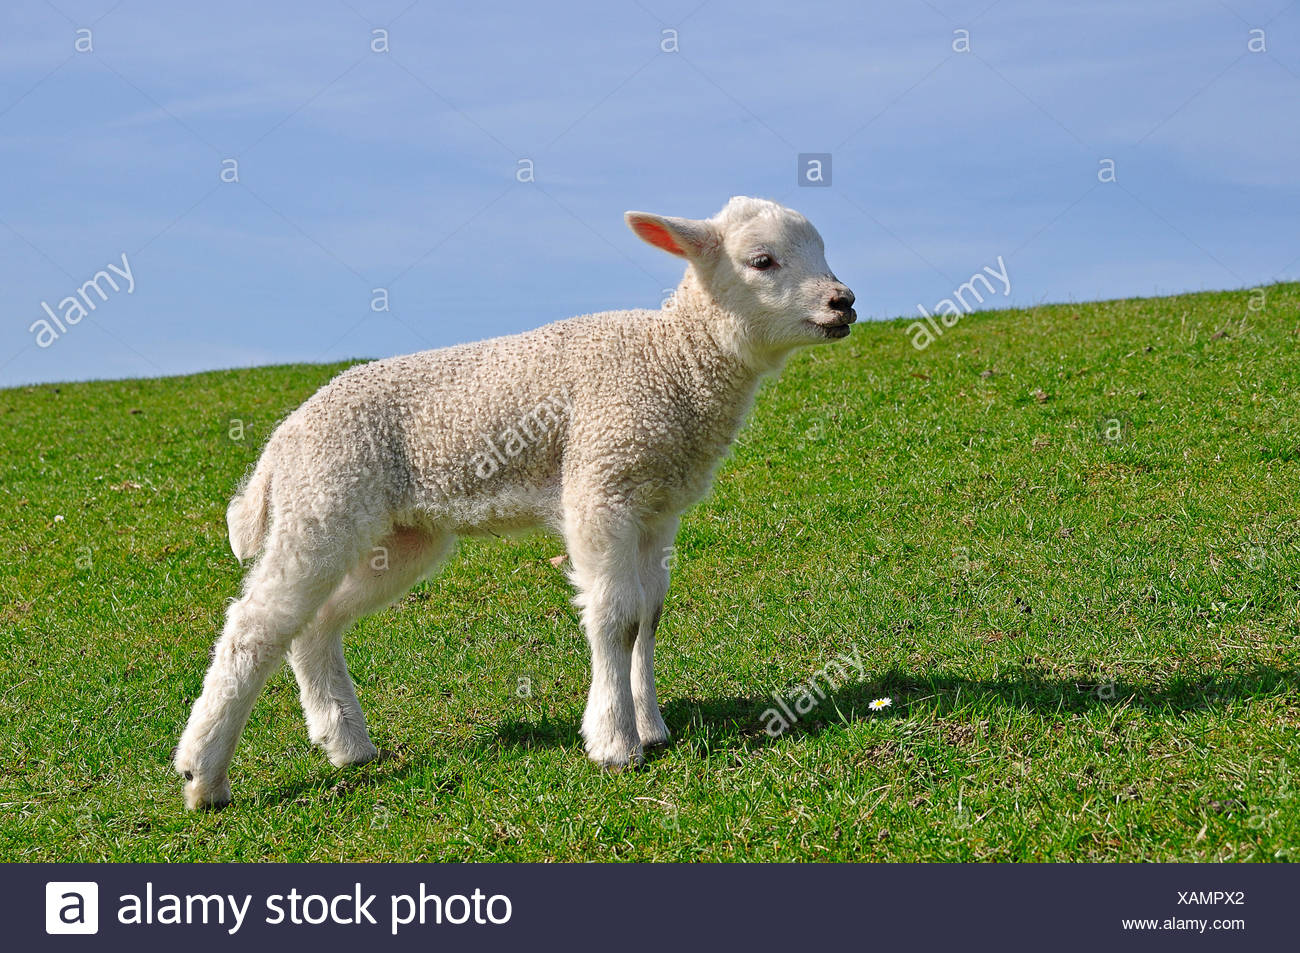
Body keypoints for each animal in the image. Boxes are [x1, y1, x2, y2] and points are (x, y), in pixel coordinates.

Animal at [174, 195, 856, 809]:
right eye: (762, 261)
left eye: (823, 251)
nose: (843, 301)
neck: (675, 360)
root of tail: (283, 438)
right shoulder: (600, 484)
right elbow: (615, 616)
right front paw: (614, 743)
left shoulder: (658, 508)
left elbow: (648, 616)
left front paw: (653, 728)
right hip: (324, 498)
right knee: (254, 626)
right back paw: (204, 776)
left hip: (400, 533)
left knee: (315, 623)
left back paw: (345, 742)